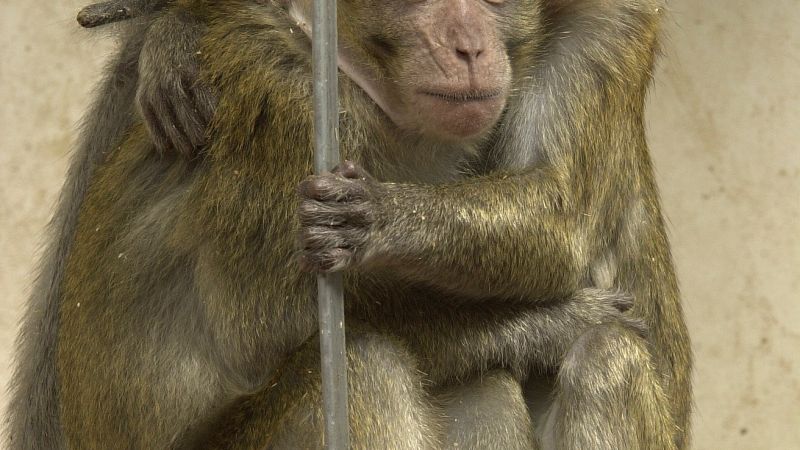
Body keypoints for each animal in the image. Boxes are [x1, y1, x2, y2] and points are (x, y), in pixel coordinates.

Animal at [5, 0, 692, 449]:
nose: (469, 48)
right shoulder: (291, 108)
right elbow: (262, 331)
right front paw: (552, 323)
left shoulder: (617, 21)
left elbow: (560, 214)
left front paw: (379, 220)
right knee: (369, 364)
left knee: (599, 358)